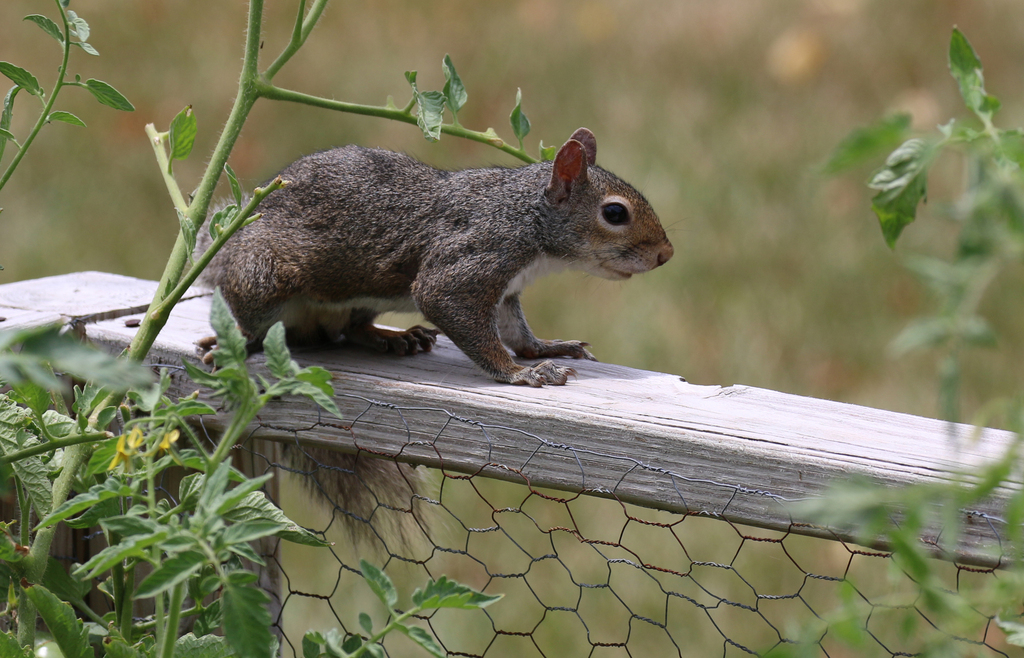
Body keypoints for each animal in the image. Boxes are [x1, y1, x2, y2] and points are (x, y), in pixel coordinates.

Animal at [195, 127, 672, 543]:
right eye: (615, 213)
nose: (666, 254)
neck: (526, 216)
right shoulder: (470, 259)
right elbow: (463, 317)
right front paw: (519, 373)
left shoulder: (506, 291)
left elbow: (517, 333)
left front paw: (548, 349)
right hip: (262, 278)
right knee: (253, 316)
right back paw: (231, 340)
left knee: (350, 329)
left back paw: (390, 338)